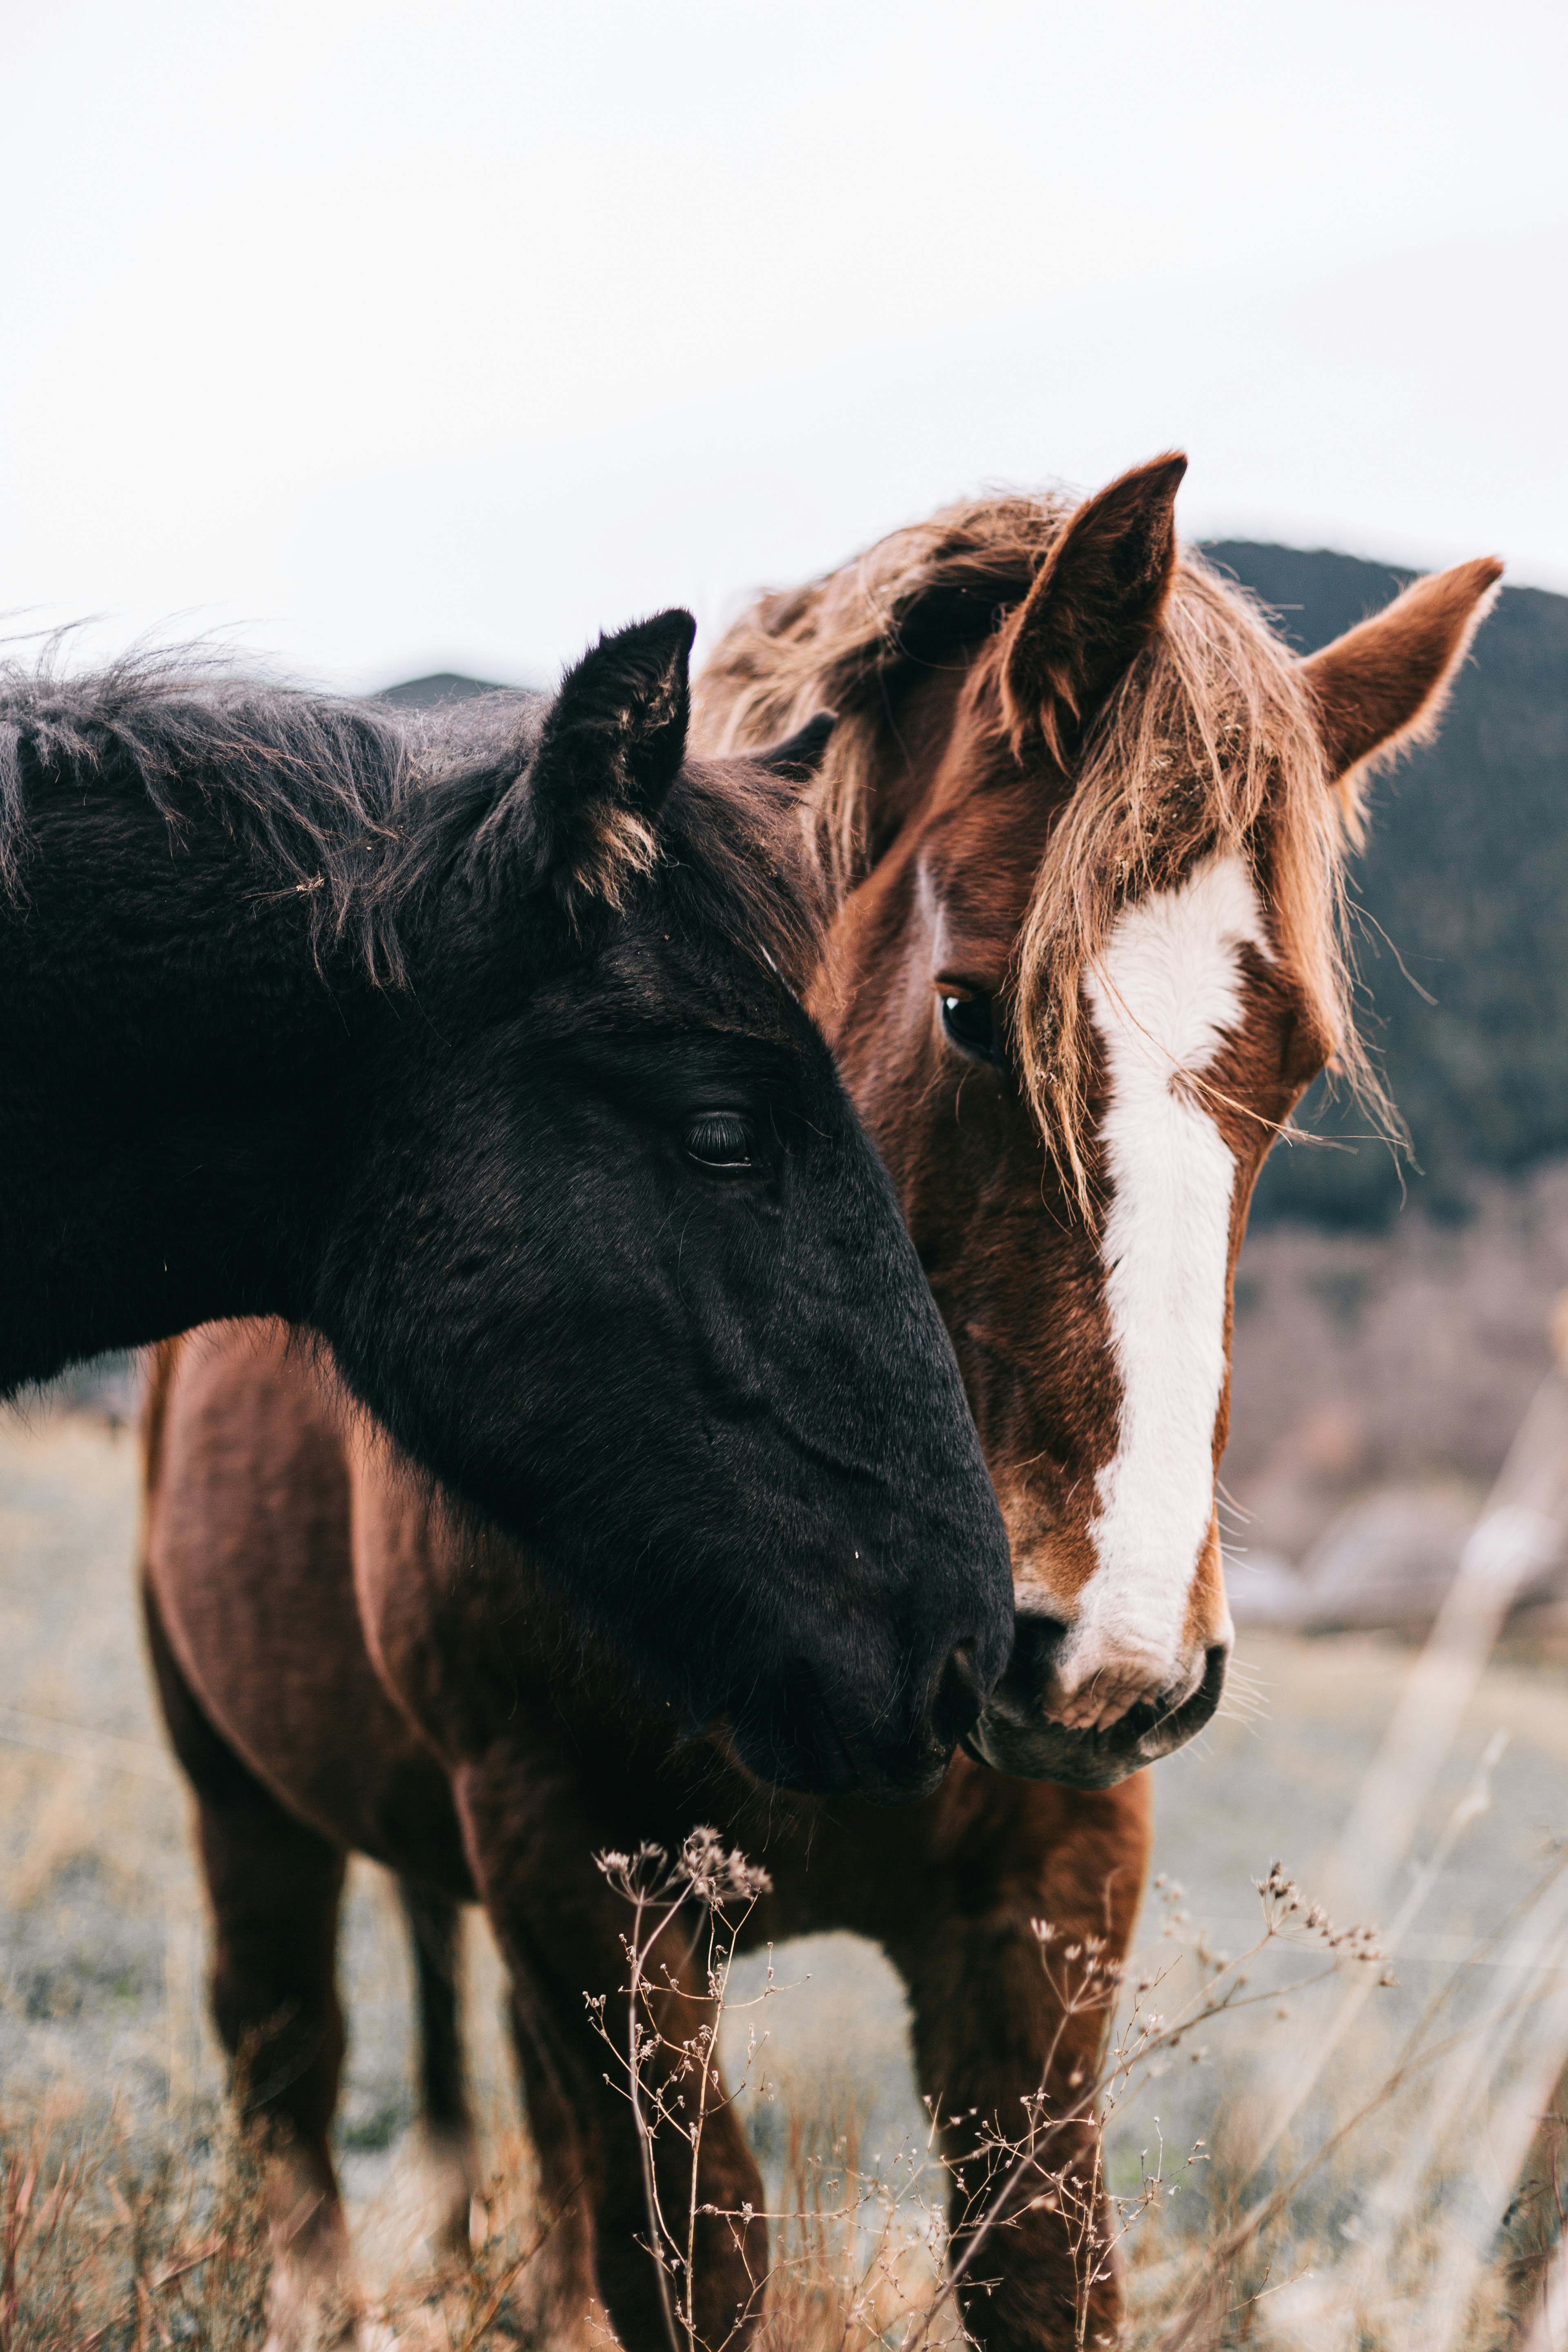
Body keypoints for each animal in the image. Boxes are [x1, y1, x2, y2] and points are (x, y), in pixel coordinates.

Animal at [141, 456, 1502, 2348]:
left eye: (1290, 1069)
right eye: (972, 1011)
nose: (1115, 1660)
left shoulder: (1045, 1899)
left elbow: (1038, 2269)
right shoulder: (573, 1874)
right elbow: (693, 2269)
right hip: (248, 1808)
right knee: (290, 2076)